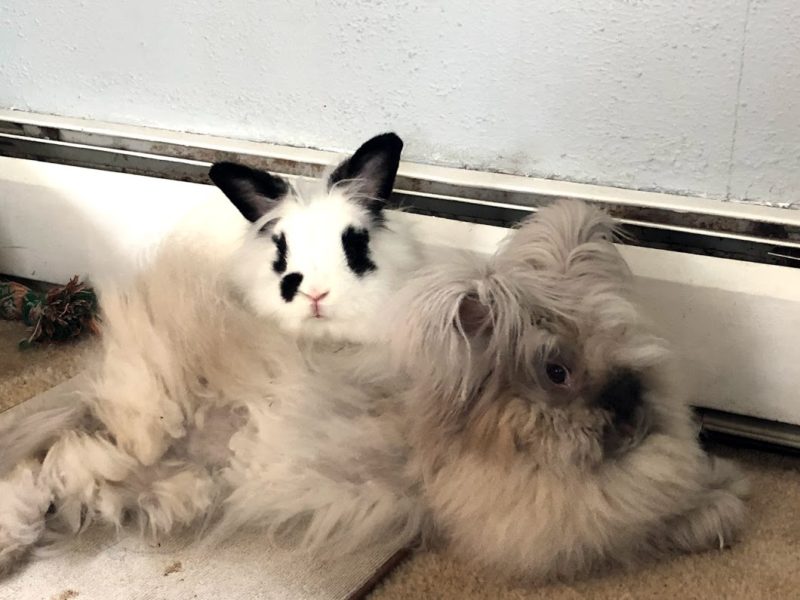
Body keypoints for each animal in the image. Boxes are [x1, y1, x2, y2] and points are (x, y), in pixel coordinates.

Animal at [387, 200, 750, 581]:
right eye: (556, 372)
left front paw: (726, 479)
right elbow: (657, 527)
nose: (633, 415)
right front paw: (719, 514)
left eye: (617, 337)